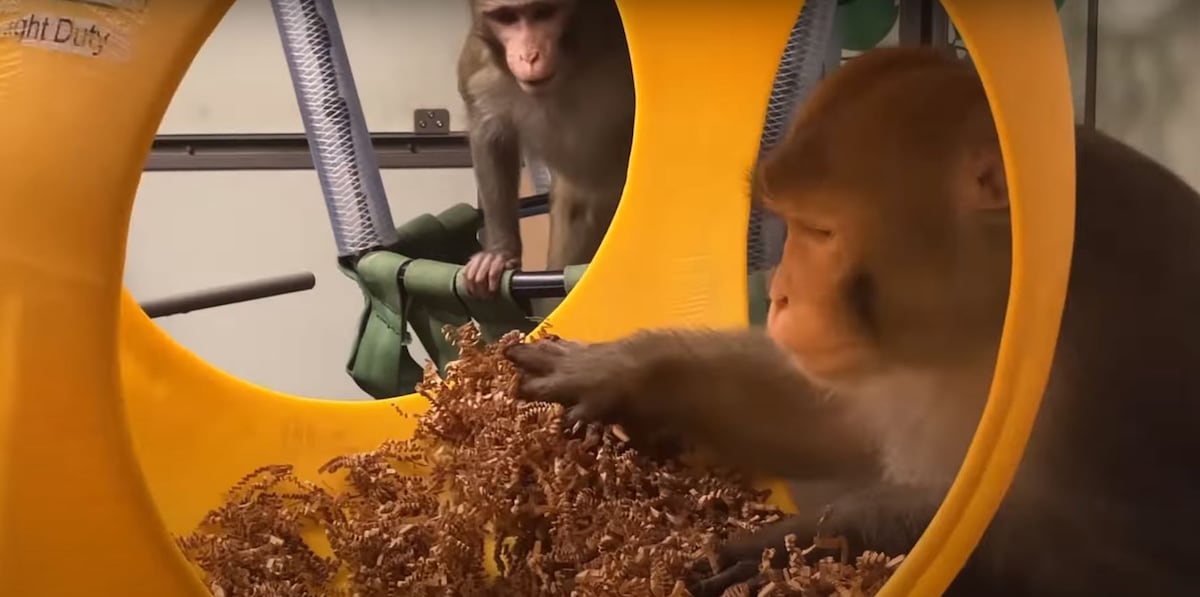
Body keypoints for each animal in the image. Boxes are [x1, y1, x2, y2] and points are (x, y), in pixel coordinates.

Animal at [457, 0, 635, 299]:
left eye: (543, 13)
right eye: (506, 17)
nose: (529, 56)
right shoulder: (479, 68)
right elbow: (491, 135)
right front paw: (499, 254)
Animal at [504, 47, 1200, 596]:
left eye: (819, 231)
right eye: (792, 222)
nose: (779, 295)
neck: (986, 324)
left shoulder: (1107, 362)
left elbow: (1136, 561)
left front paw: (818, 541)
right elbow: (833, 420)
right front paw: (630, 371)